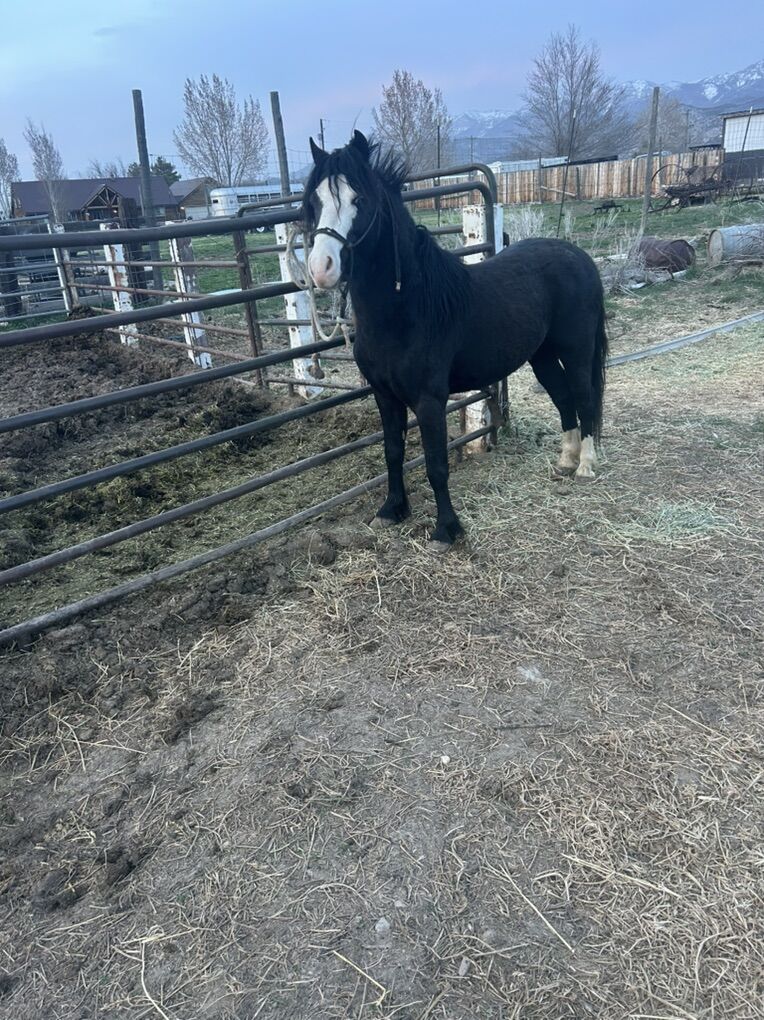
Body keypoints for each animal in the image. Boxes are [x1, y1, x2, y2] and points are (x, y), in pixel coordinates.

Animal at [303, 131, 608, 550]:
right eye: (315, 201)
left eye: (358, 199)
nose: (322, 268)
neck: (408, 308)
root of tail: (578, 255)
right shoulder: (384, 395)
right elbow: (393, 452)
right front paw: (391, 511)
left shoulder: (430, 400)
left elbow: (436, 464)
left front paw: (446, 530)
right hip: (542, 357)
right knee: (563, 399)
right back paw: (565, 462)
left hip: (576, 351)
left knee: (583, 398)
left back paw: (586, 467)